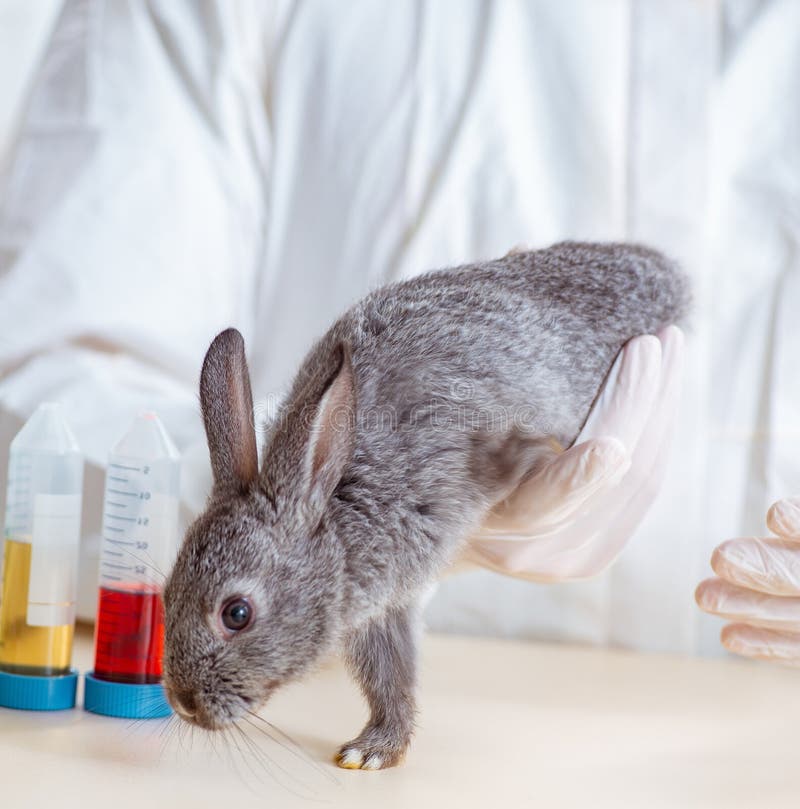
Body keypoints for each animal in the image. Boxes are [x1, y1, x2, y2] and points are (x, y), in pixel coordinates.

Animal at [162, 241, 690, 770]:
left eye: (236, 613)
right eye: (167, 595)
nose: (183, 703)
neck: (337, 508)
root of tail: (668, 273)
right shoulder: (384, 604)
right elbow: (391, 680)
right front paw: (373, 750)